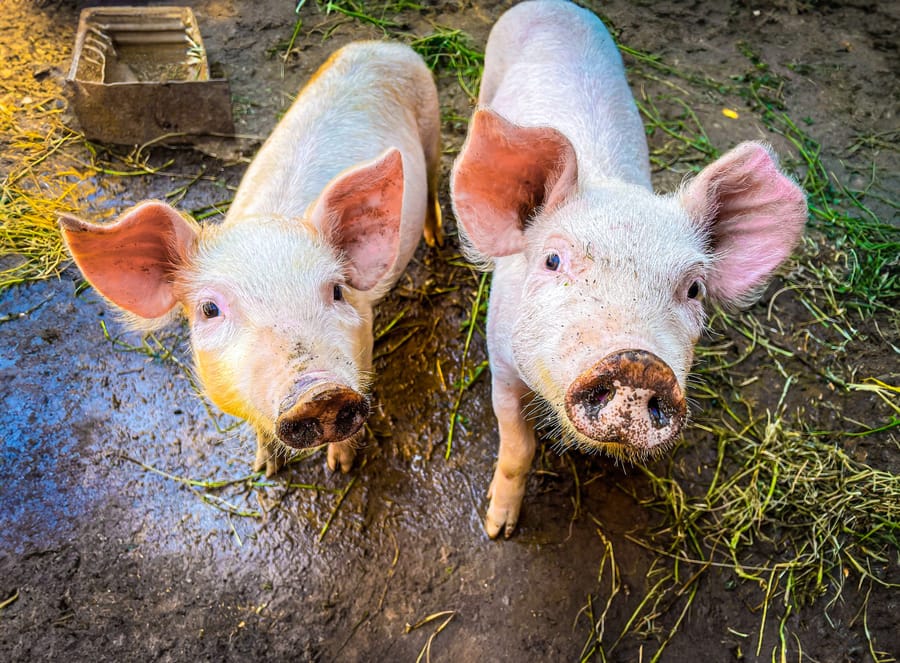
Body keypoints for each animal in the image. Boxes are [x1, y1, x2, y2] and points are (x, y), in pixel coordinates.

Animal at [60, 41, 442, 477]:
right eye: (209, 309)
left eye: (337, 290)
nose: (322, 393)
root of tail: (380, 44)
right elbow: (260, 431)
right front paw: (264, 470)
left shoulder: (364, 349)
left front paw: (341, 468)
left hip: (431, 123)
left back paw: (436, 239)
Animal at [450, 0, 807, 538]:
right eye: (553, 260)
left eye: (695, 289)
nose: (638, 363)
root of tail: (553, 5)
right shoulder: (501, 360)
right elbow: (516, 442)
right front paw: (498, 529)